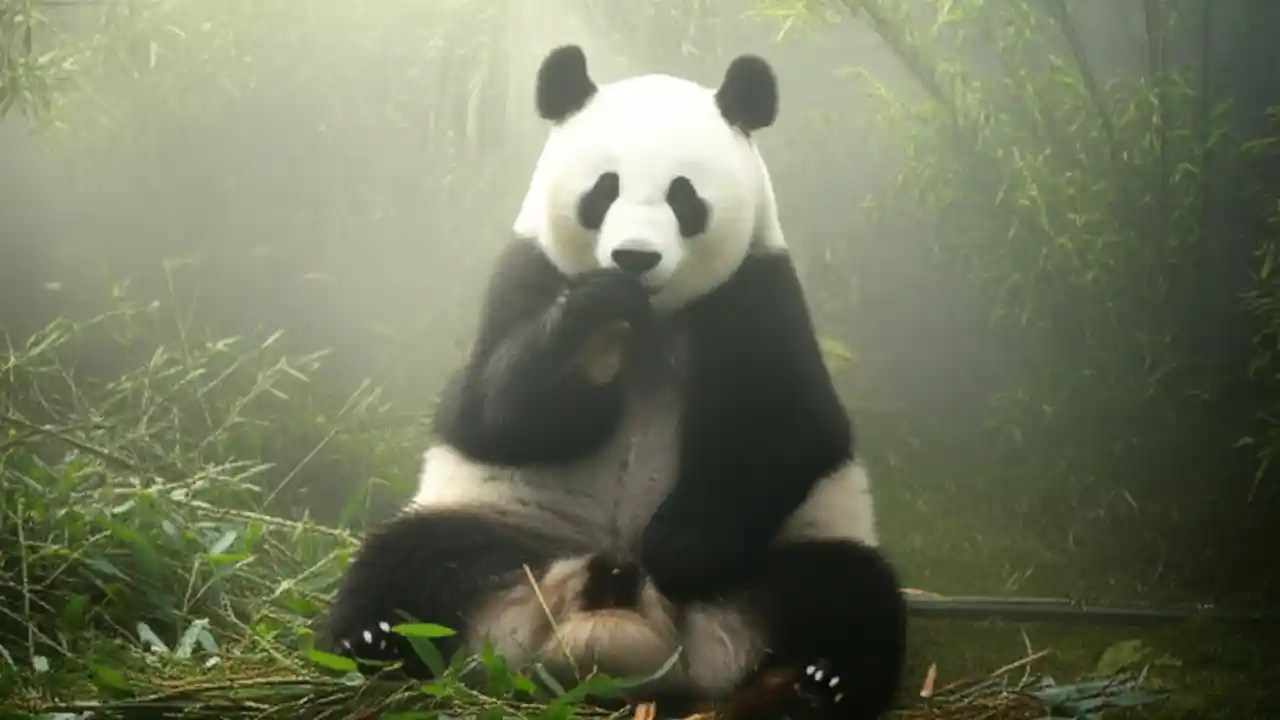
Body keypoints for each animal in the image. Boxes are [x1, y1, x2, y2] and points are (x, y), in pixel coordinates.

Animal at [321, 45, 906, 720]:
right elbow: (486, 413)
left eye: (684, 197)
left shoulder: (757, 293)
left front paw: (677, 548)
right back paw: (371, 642)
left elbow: (788, 429)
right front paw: (594, 328)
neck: (650, 318)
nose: (634, 258)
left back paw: (820, 679)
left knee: (844, 591)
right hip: (501, 530)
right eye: (604, 190)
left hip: (787, 551)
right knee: (405, 558)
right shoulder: (527, 273)